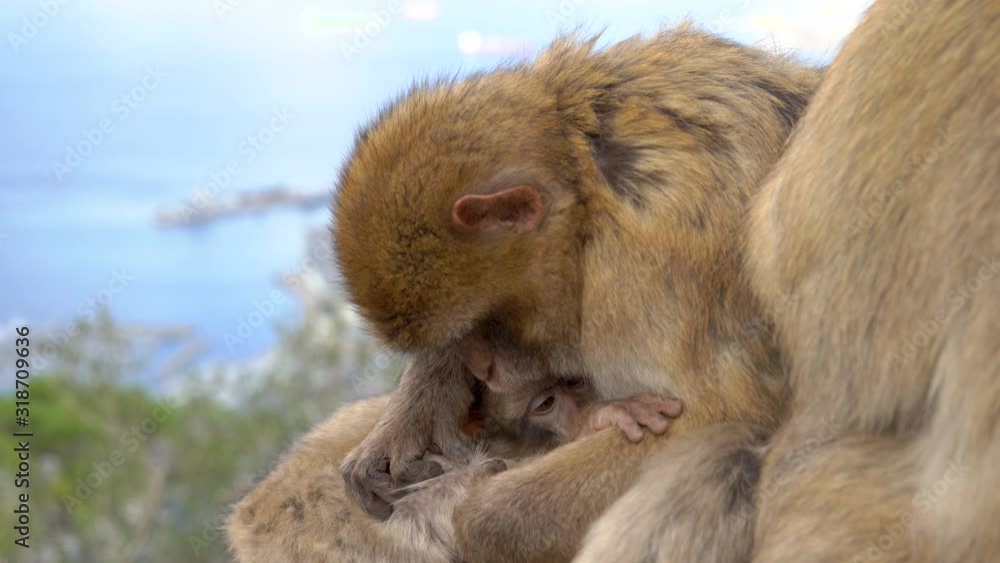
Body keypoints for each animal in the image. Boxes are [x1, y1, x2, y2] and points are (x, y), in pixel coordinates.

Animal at [332, 23, 822, 562]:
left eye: (483, 322)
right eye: (460, 335)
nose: (483, 365)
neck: (583, 186)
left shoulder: (659, 251)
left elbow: (726, 415)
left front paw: (476, 508)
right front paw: (418, 410)